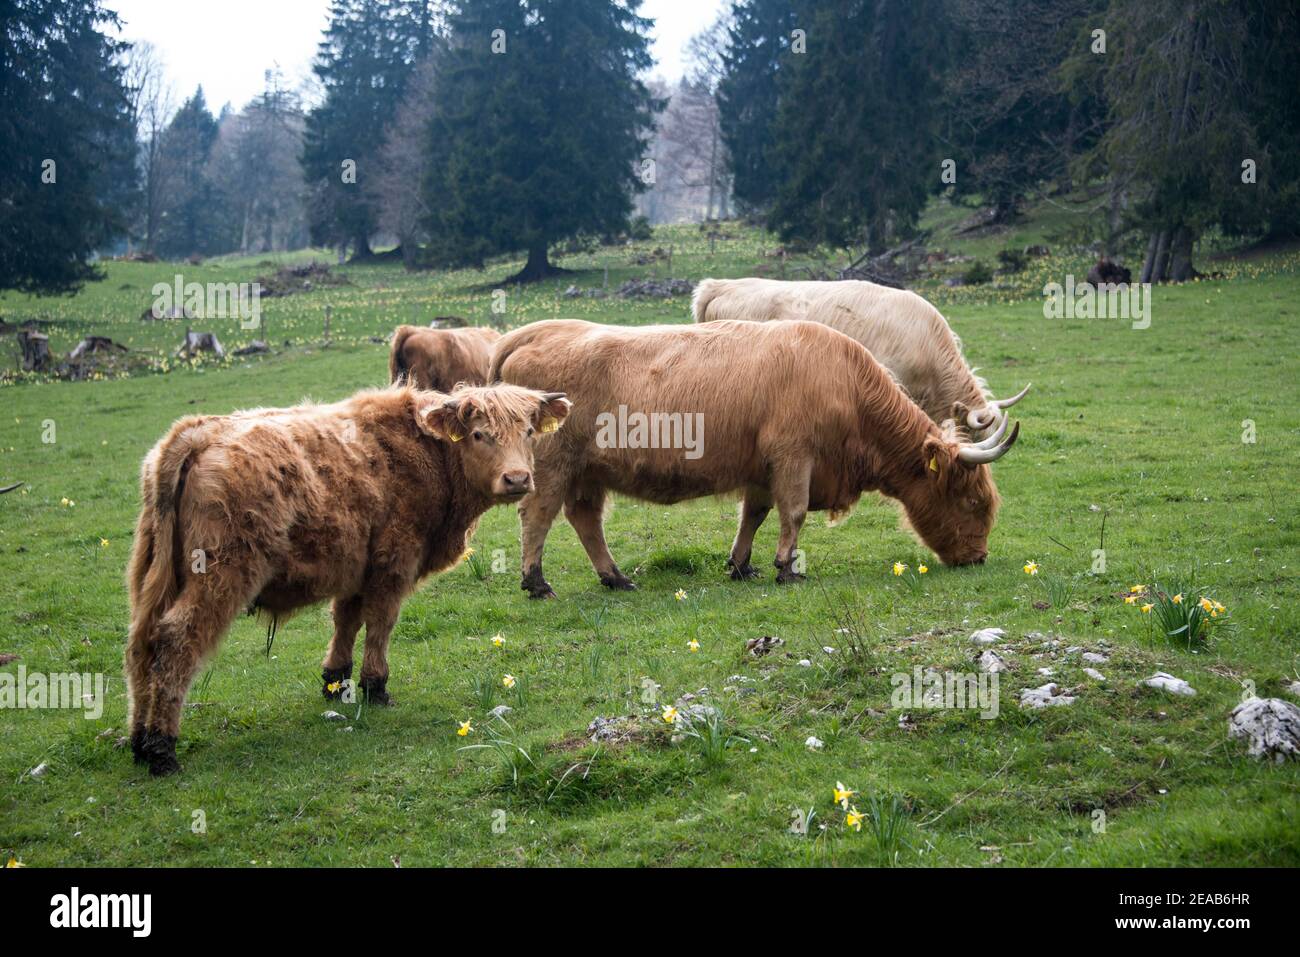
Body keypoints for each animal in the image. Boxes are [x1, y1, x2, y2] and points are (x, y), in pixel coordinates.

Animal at [124, 382, 571, 775]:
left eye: (528, 432)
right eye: (480, 435)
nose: (517, 479)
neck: (430, 455)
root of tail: (196, 433)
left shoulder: (358, 568)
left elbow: (346, 621)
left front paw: (336, 682)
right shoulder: (394, 562)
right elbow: (380, 624)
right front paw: (376, 686)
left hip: (154, 578)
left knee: (141, 646)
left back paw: (139, 741)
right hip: (221, 575)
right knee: (177, 641)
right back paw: (162, 749)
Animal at [490, 318, 1020, 599]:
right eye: (973, 502)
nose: (978, 558)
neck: (847, 388)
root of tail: (534, 332)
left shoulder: (763, 469)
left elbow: (756, 514)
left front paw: (742, 565)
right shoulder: (794, 457)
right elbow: (794, 512)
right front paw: (787, 566)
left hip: (588, 472)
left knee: (585, 520)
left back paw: (615, 577)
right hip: (553, 464)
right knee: (537, 515)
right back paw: (536, 582)